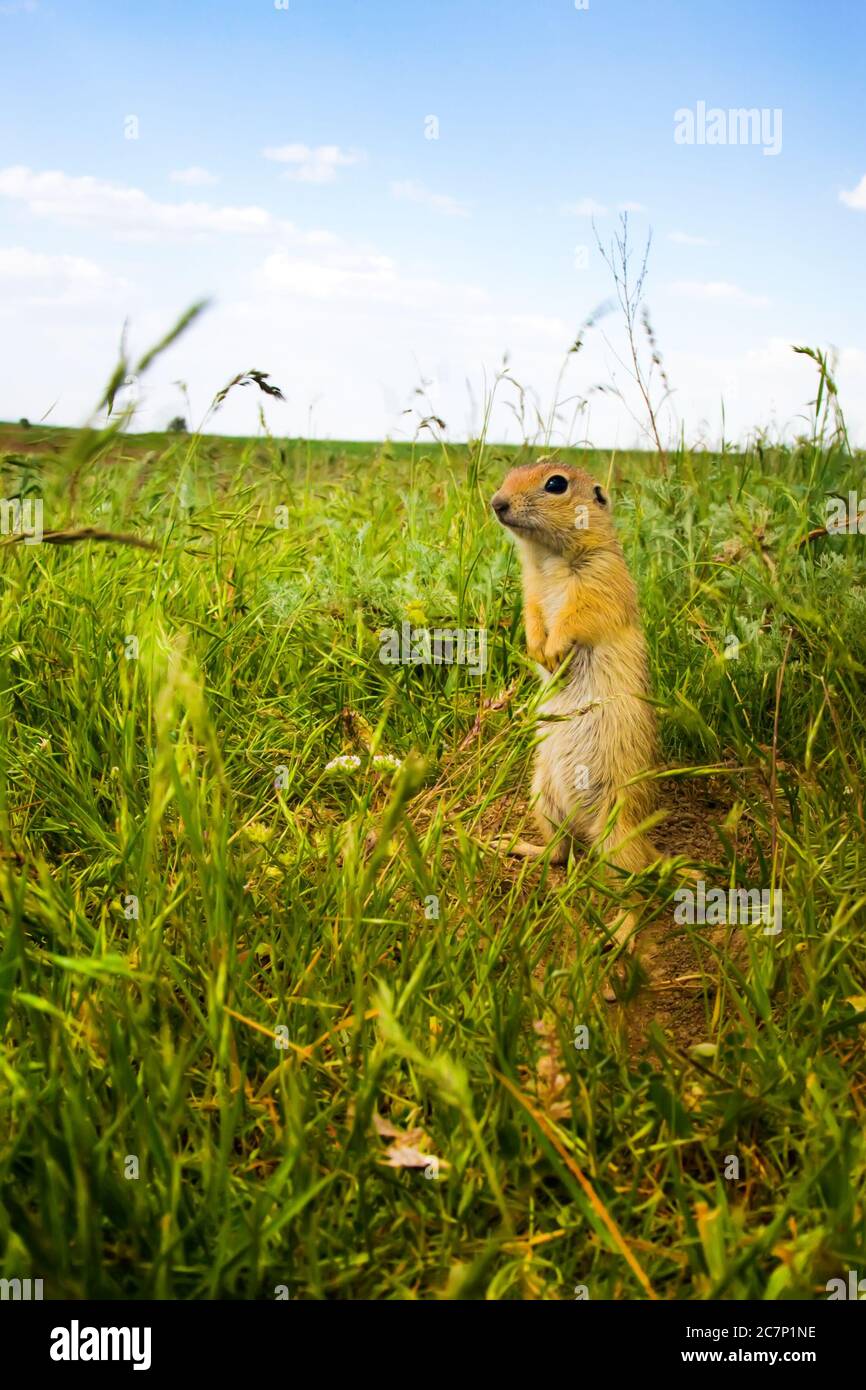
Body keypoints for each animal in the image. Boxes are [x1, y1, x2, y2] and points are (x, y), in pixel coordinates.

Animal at [490, 457, 661, 966]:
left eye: (556, 484)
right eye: (510, 473)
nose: (496, 503)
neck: (547, 560)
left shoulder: (599, 581)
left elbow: (576, 619)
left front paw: (554, 653)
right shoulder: (528, 590)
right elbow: (531, 616)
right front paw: (538, 650)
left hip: (617, 834)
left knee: (635, 894)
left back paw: (618, 936)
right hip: (542, 799)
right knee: (562, 854)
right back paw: (515, 846)